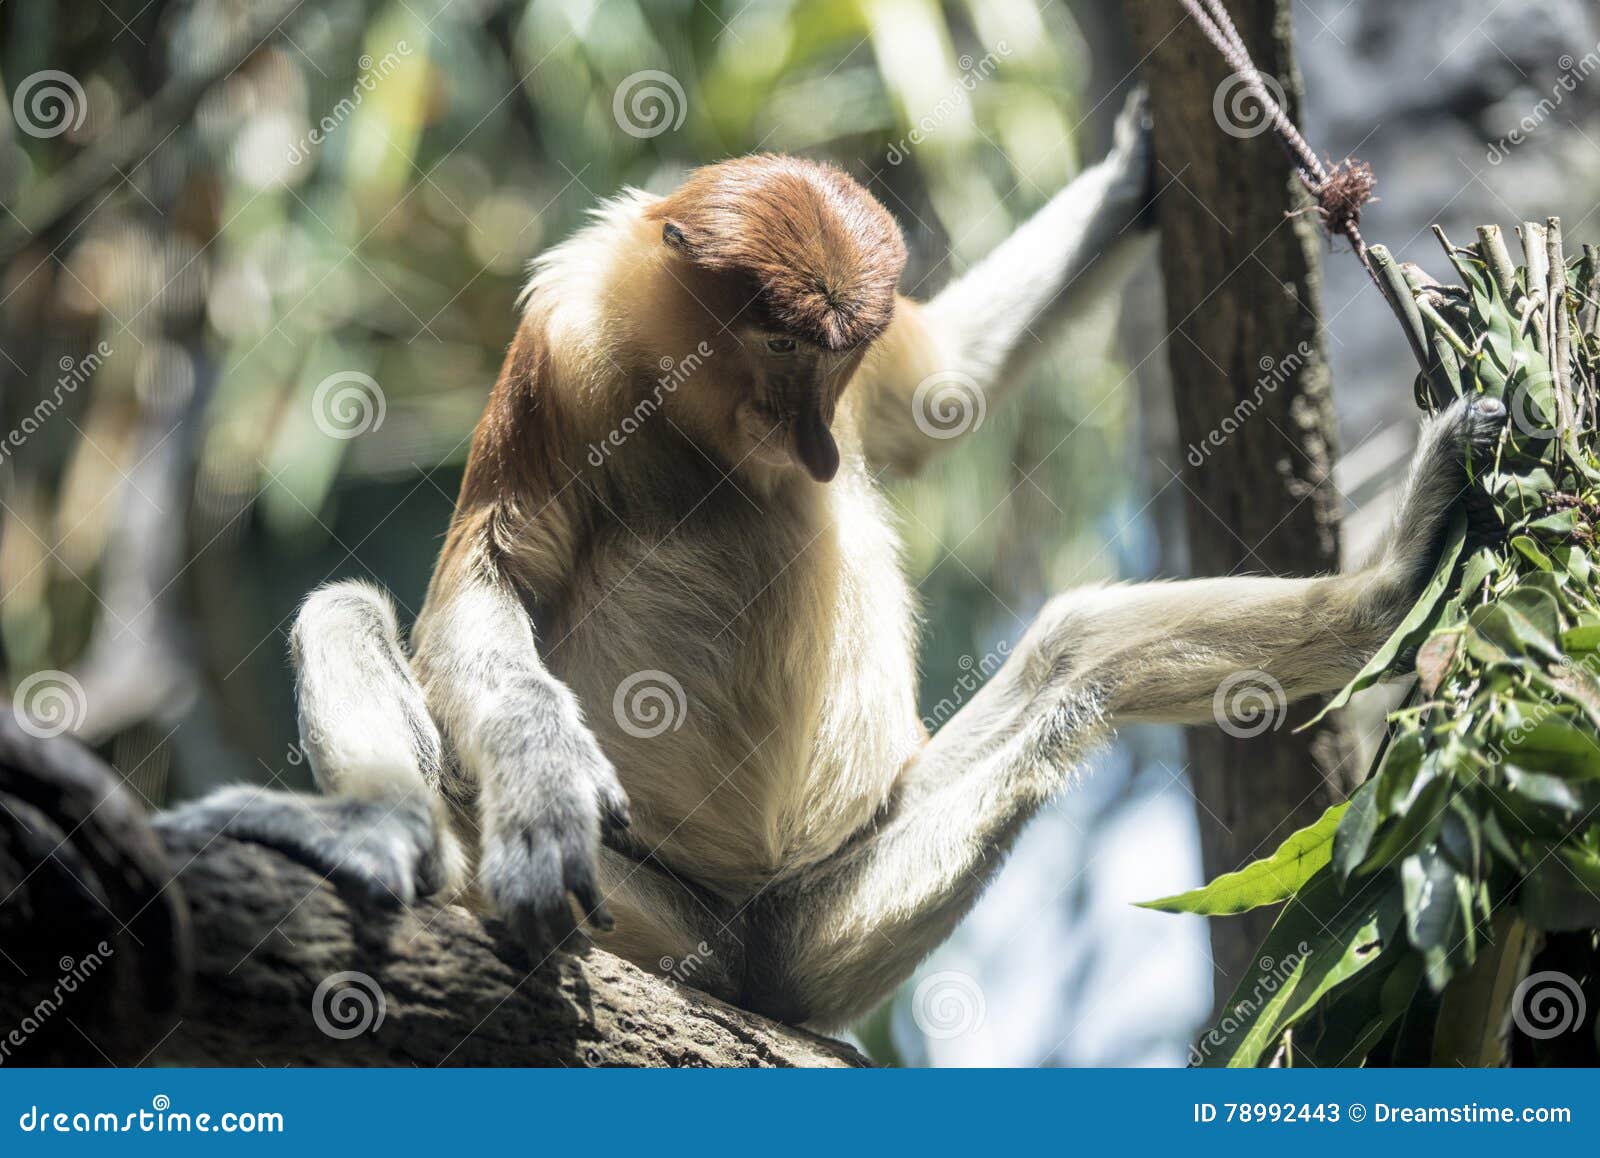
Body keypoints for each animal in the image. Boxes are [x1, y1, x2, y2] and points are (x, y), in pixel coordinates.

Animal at [159, 93, 1507, 1030]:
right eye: (778, 352)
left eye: (840, 353)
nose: (811, 447)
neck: (688, 406)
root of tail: (746, 959)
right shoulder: (558, 351)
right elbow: (482, 590)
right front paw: (542, 789)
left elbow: (938, 393)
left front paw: (1133, 170)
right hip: (649, 912)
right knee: (344, 607)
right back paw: (379, 838)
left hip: (833, 908)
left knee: (1079, 655)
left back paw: (1394, 581)